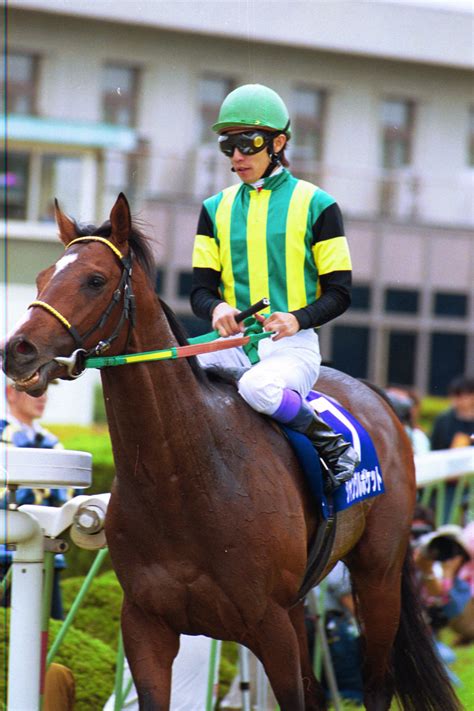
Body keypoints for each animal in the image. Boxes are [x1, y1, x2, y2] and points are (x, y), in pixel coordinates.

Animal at [2, 194, 461, 711]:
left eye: (95, 279)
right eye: (42, 277)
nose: (17, 350)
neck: (183, 478)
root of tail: (377, 396)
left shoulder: (270, 624)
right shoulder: (145, 623)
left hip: (378, 574)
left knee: (377, 684)